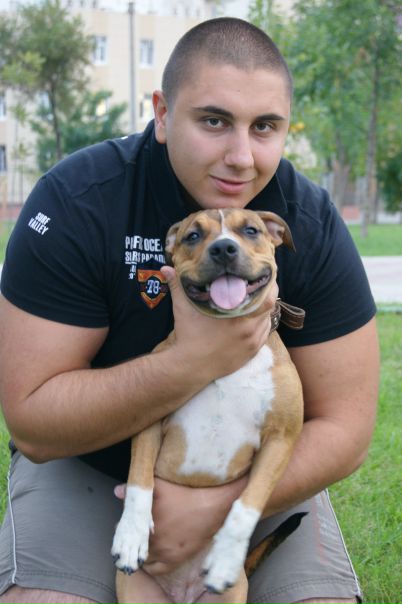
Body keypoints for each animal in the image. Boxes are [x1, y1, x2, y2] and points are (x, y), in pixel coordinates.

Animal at [112, 208, 304, 604]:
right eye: (193, 236)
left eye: (251, 230)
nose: (224, 249)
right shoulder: (148, 419)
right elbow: (139, 482)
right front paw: (131, 536)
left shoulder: (282, 438)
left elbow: (247, 503)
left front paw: (225, 559)